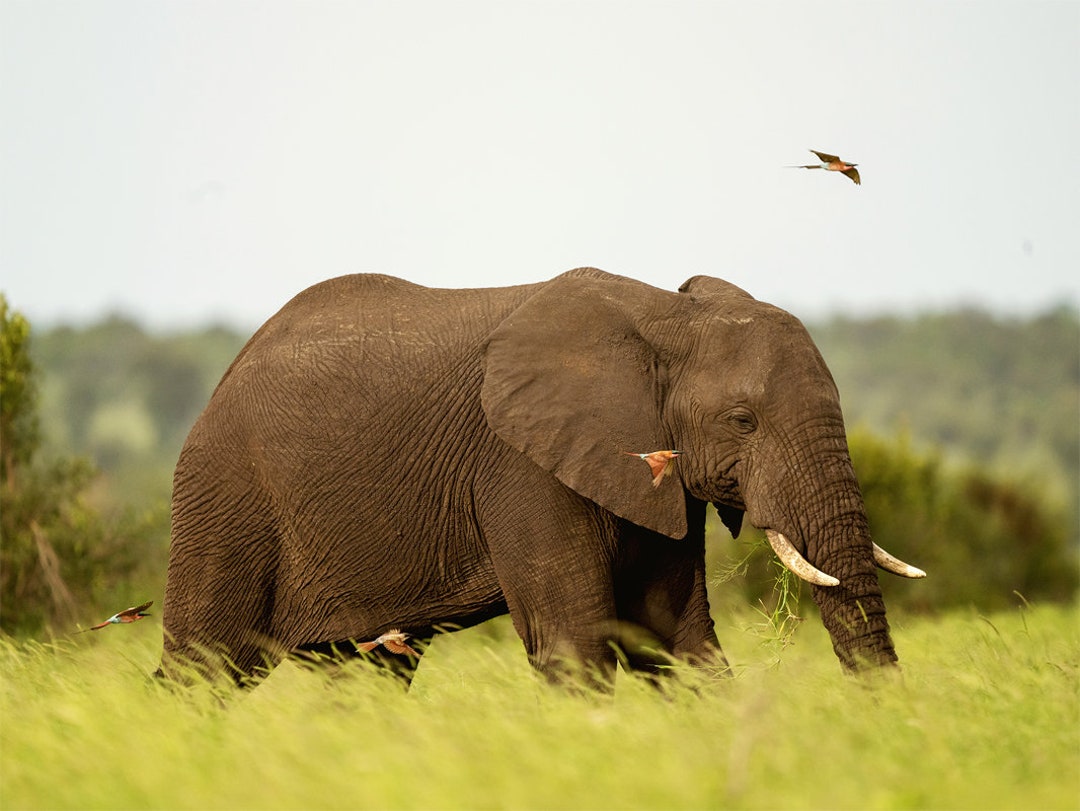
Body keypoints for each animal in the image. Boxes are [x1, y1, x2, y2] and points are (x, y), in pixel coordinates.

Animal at [157, 268, 923, 686]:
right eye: (743, 421)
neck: (665, 317)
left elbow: (673, 635)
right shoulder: (522, 466)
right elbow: (573, 642)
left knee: (363, 677)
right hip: (225, 499)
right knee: (202, 664)